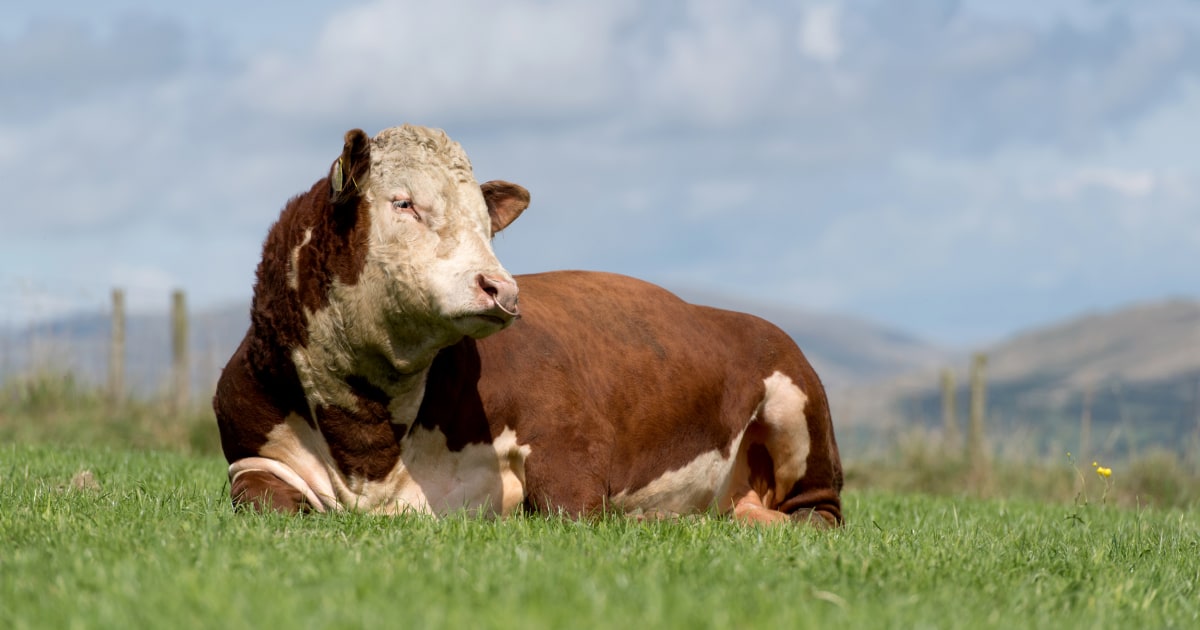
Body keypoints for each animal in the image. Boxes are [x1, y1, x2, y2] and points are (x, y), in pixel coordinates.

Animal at [214, 125, 843, 527]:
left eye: (486, 223)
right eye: (402, 202)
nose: (502, 288)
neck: (368, 444)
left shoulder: (568, 436)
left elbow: (573, 510)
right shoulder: (251, 456)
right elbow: (262, 502)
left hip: (797, 401)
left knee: (817, 514)